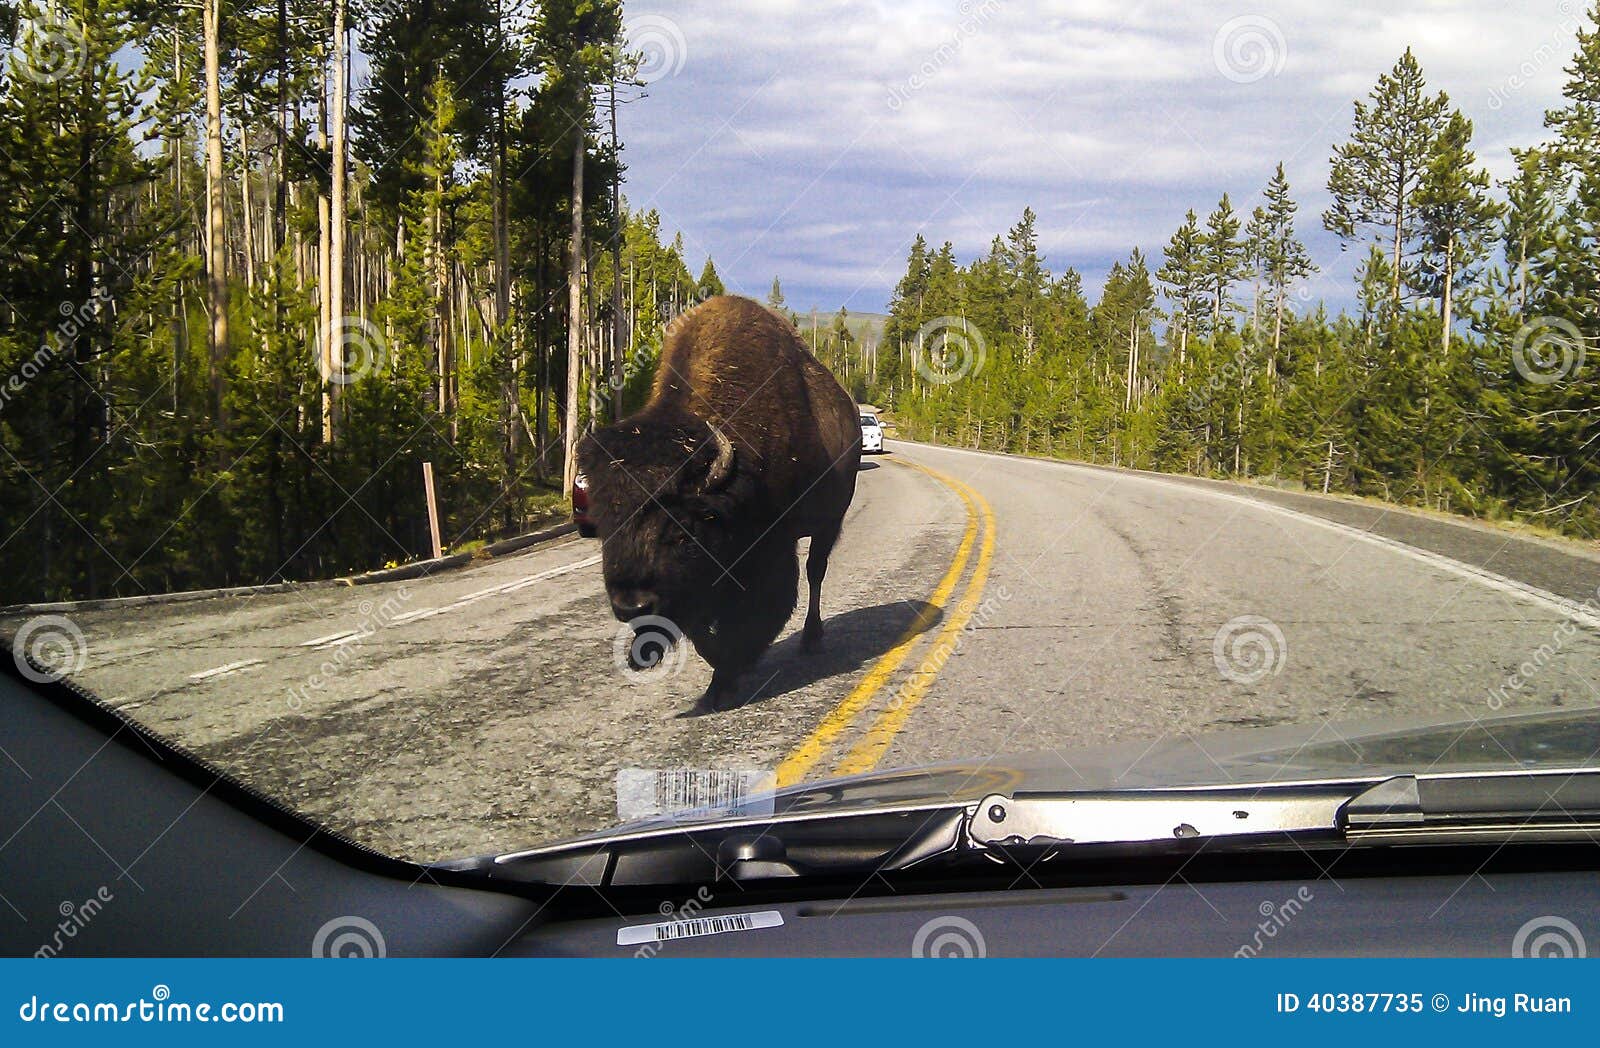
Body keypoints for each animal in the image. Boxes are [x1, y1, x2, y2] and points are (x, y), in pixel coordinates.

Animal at [577, 295, 861, 713]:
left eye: (681, 531)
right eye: (606, 526)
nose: (632, 605)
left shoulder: (768, 553)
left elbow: (757, 613)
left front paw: (727, 678)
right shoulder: (695, 583)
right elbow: (701, 629)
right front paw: (723, 677)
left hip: (829, 522)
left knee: (816, 572)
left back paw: (811, 639)